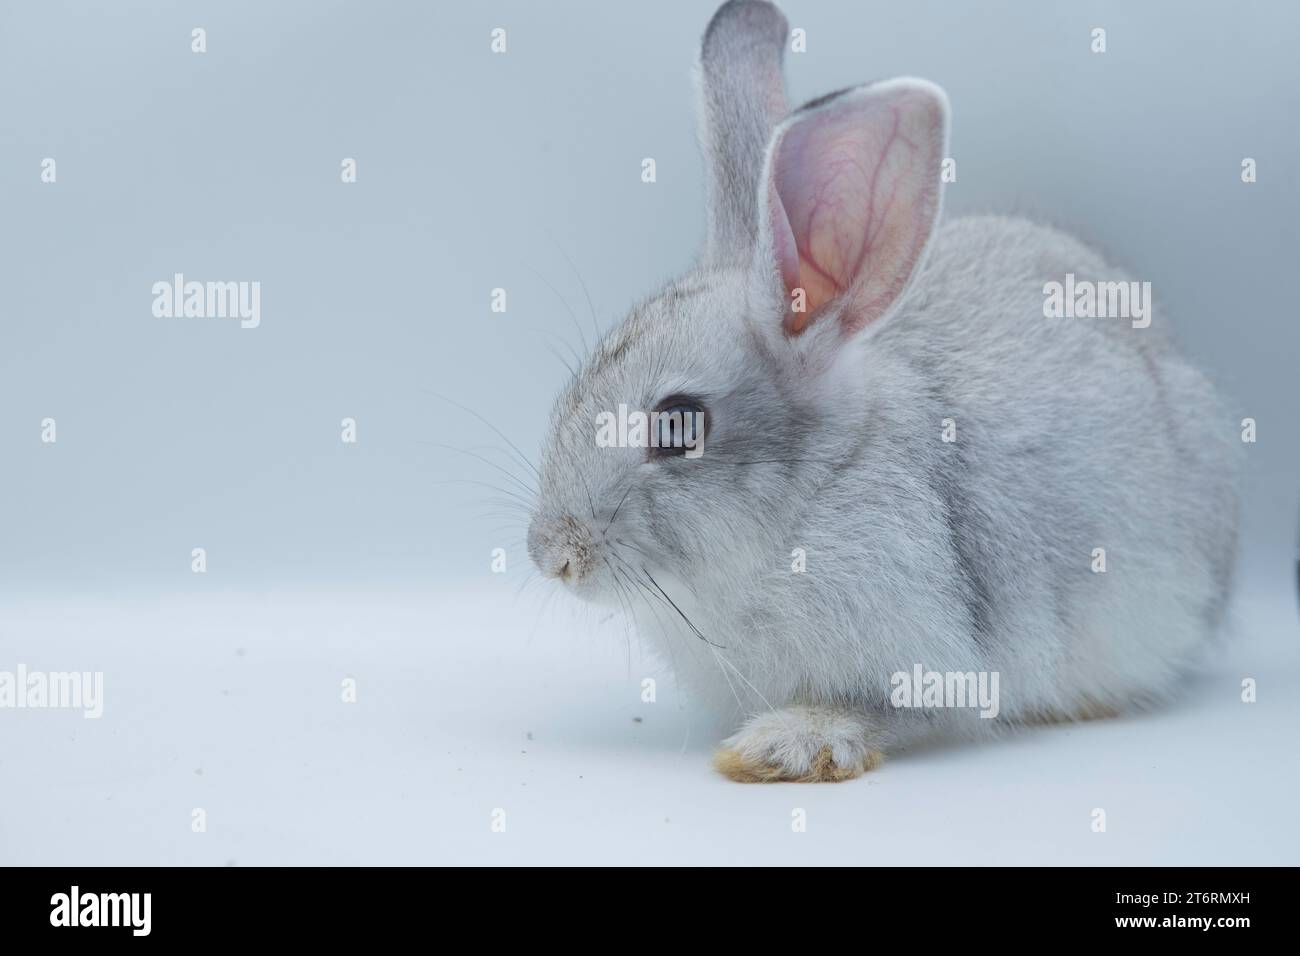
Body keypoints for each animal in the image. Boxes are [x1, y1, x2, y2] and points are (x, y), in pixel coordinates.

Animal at [526, 0, 1240, 782]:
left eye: (680, 424)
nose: (552, 555)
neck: (811, 497)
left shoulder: (936, 652)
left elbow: (893, 713)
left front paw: (781, 746)